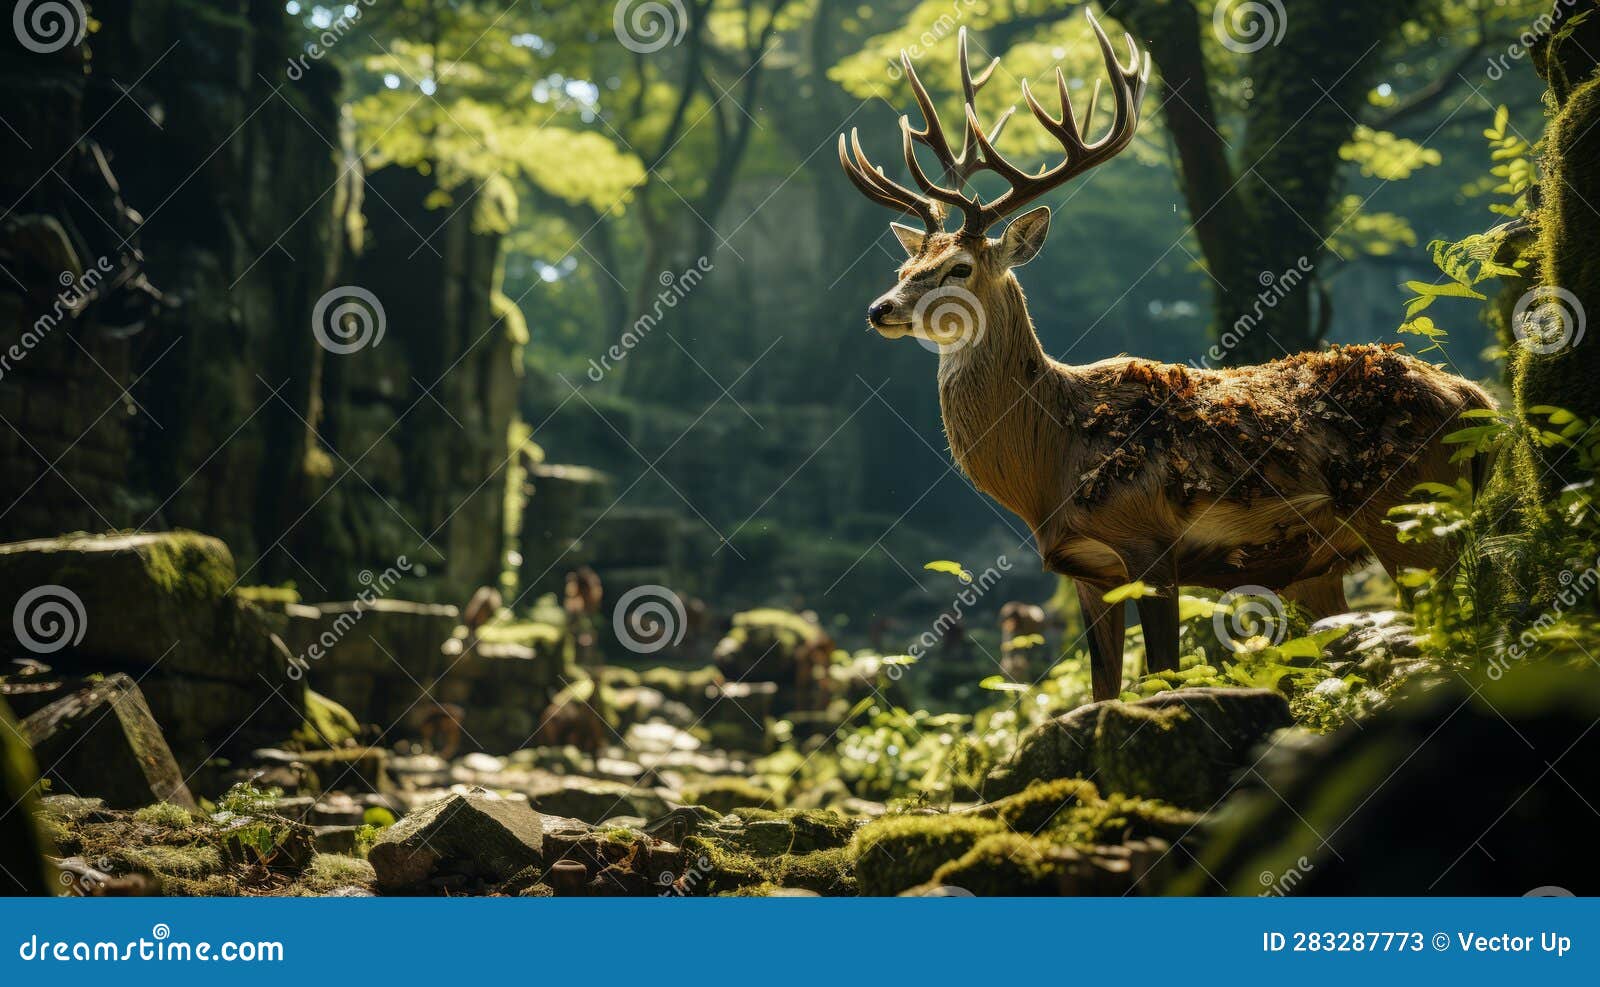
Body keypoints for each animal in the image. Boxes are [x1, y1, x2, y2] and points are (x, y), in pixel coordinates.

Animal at [838, 12, 1493, 702]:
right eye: (904, 267)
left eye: (958, 267)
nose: (879, 309)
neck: (1052, 459)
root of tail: (1476, 400)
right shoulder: (1087, 571)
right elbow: (1103, 692)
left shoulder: (1149, 542)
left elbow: (1162, 677)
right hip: (1334, 560)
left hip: (1411, 516)